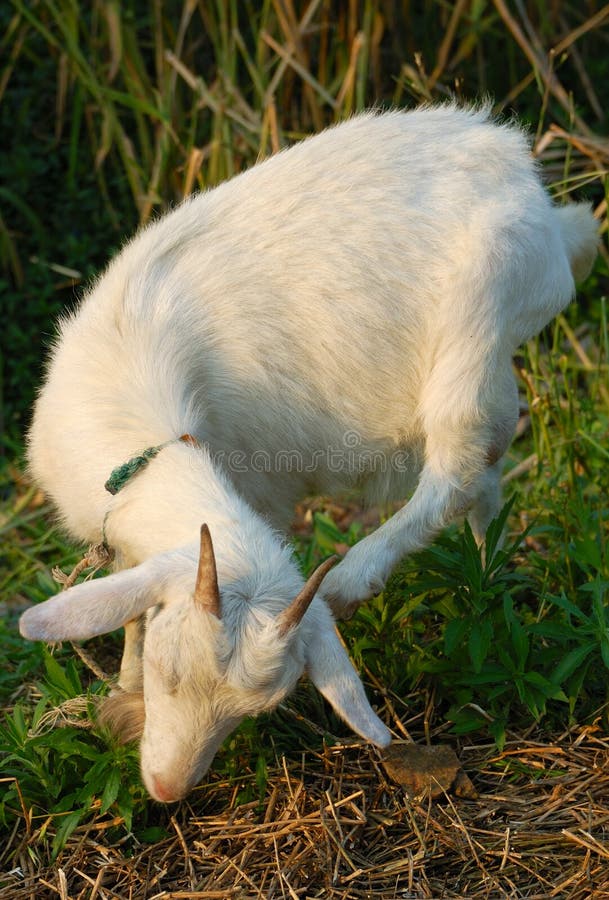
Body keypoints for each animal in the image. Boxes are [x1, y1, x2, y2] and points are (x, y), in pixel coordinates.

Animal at [19, 104, 598, 802]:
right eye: (169, 667)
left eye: (254, 713)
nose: (166, 789)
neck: (133, 404)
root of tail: (518, 166)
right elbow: (129, 601)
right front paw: (124, 690)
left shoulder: (259, 490)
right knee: (486, 478)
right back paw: (489, 575)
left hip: (478, 326)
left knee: (459, 469)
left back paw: (356, 577)